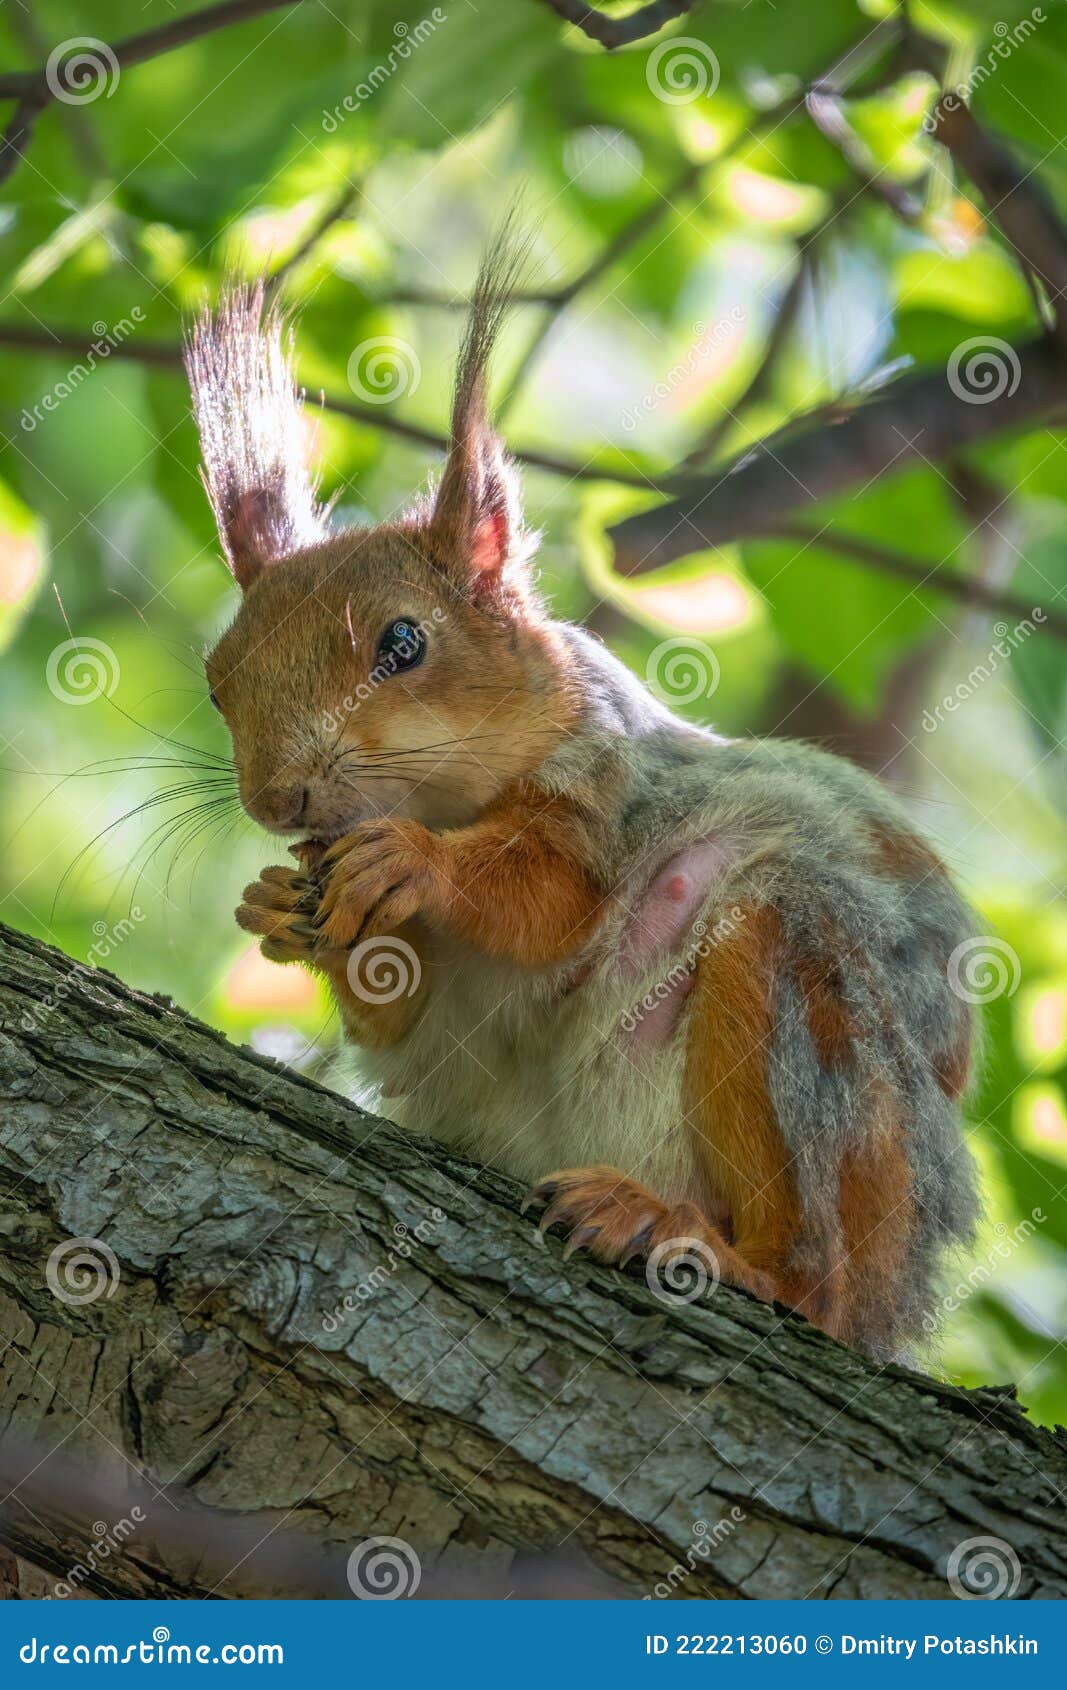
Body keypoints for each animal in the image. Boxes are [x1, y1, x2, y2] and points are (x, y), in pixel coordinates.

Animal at [185, 234, 980, 1360]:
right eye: (218, 681)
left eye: (402, 642)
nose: (277, 798)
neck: (447, 797)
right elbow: (397, 1007)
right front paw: (275, 907)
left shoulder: (607, 793)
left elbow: (549, 898)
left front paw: (412, 863)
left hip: (811, 1010)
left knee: (820, 1281)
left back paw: (695, 1240)